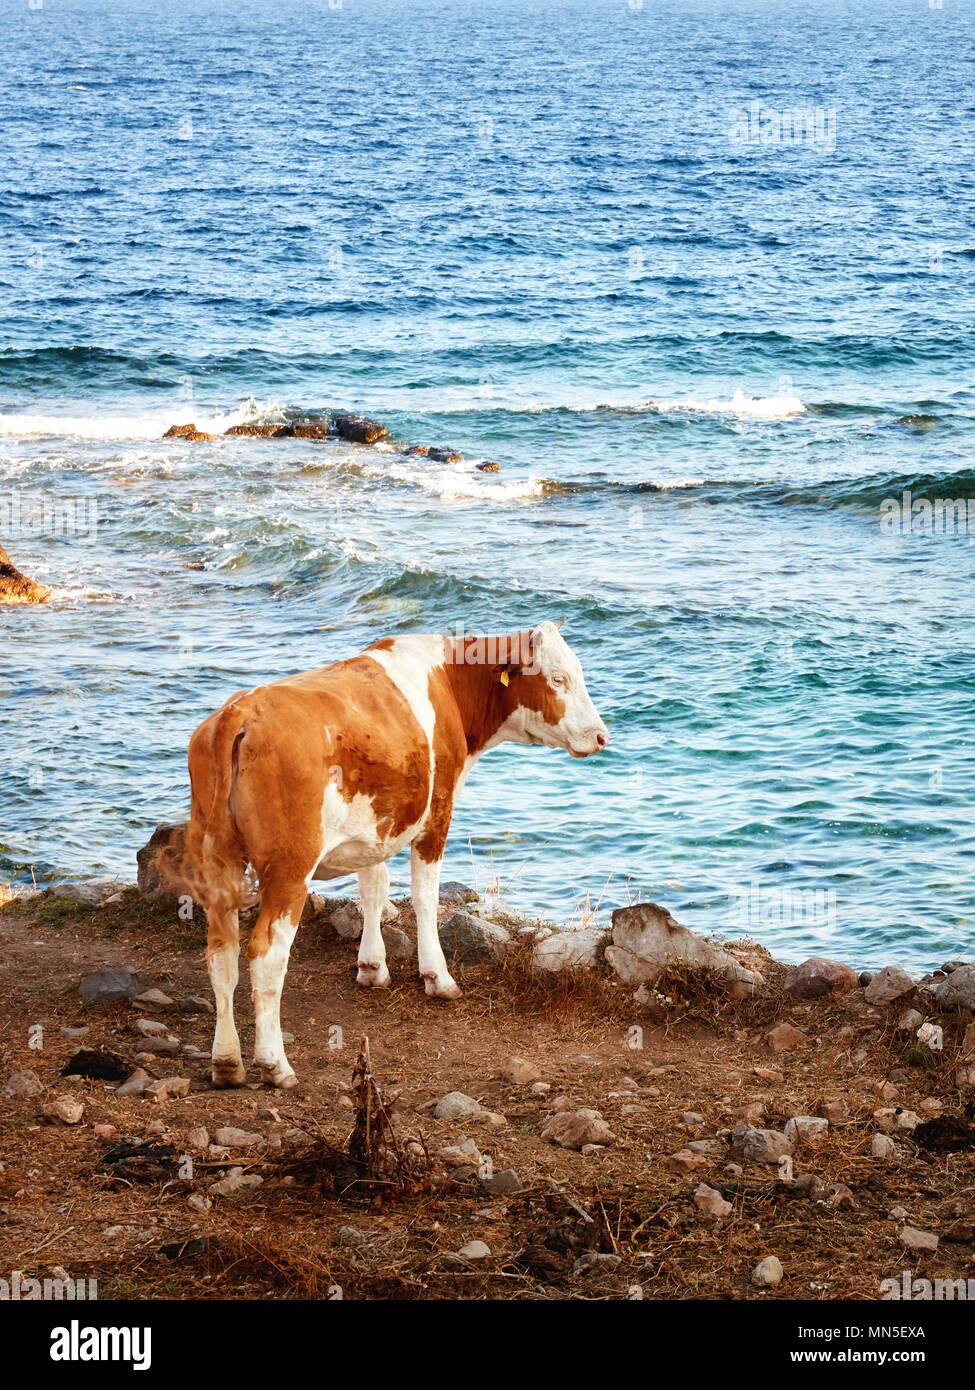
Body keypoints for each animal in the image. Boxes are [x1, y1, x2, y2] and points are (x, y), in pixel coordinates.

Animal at [161, 620, 609, 1089]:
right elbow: (425, 897)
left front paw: (372, 967)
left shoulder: (378, 823)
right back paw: (275, 1064)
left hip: (219, 858)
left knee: (221, 952)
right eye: (558, 678)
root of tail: (239, 713)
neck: (450, 680)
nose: (601, 735)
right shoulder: (437, 811)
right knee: (266, 954)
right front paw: (437, 977)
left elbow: (373, 887)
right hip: (289, 866)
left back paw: (227, 1062)